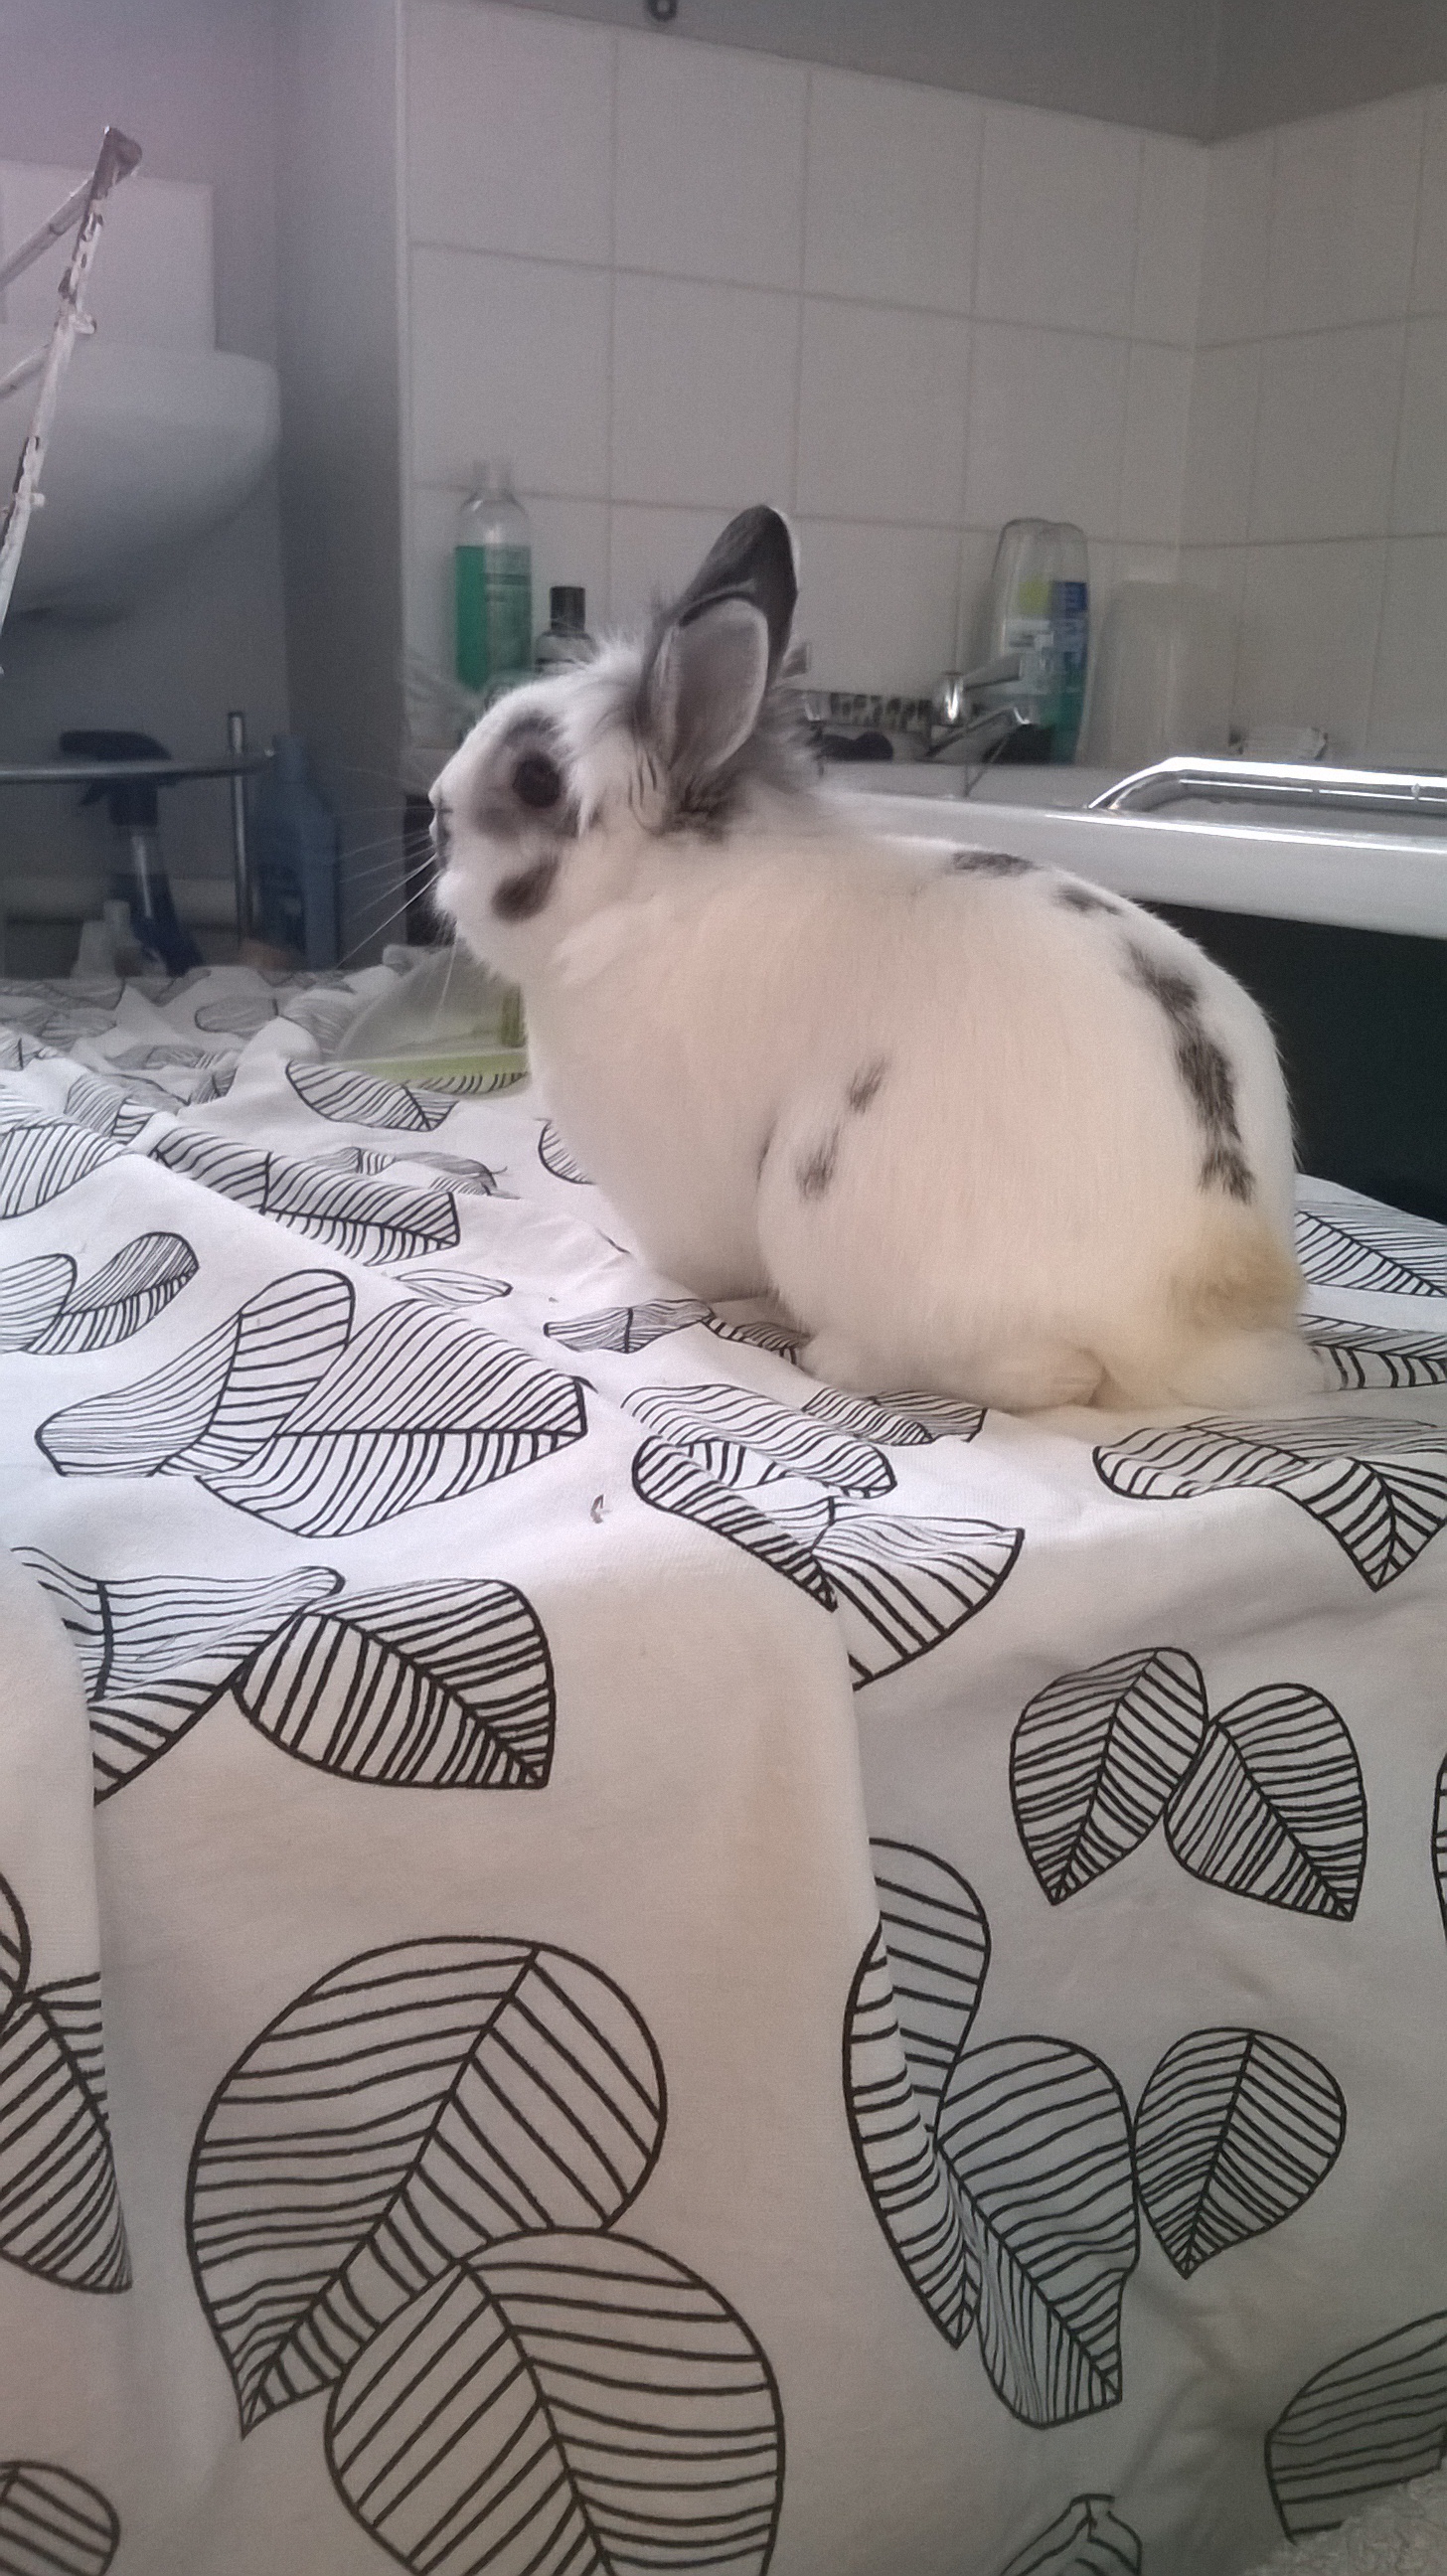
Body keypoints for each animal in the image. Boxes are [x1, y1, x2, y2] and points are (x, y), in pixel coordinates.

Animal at [432, 506, 1318, 1413]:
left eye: (536, 780)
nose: (433, 810)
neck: (650, 892)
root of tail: (1194, 1305)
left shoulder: (676, 1197)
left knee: (1043, 1373)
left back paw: (835, 1360)